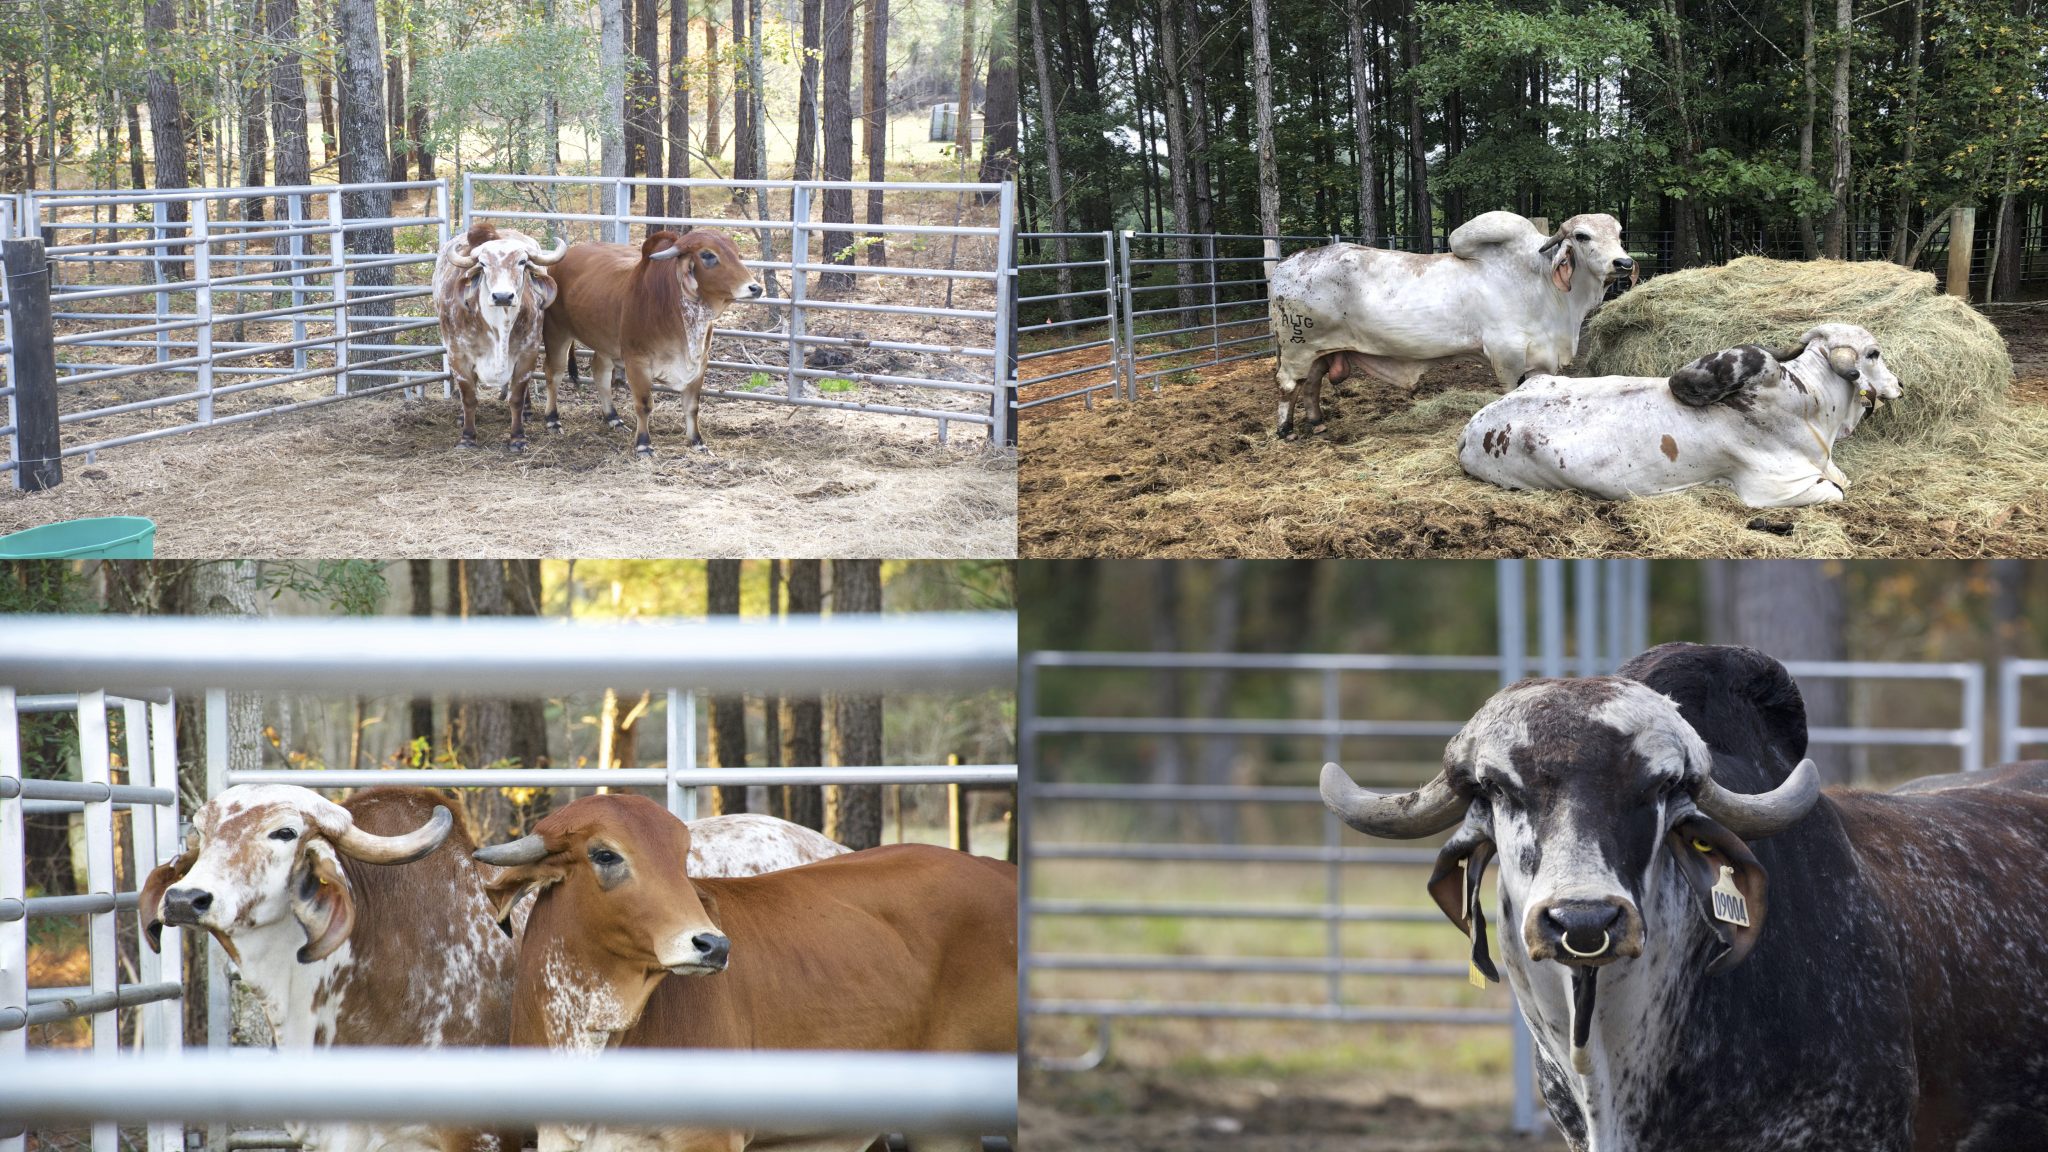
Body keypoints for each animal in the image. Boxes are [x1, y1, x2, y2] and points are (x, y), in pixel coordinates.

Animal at [432, 223, 568, 450]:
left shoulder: (527, 354)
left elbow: (516, 398)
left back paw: (528, 411)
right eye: (483, 263)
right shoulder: (458, 356)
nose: (503, 296)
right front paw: (467, 437)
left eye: (522, 262)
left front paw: (517, 437)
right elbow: (469, 398)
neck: (499, 328)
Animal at [539, 228, 763, 457]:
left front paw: (697, 441)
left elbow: (692, 406)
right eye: (708, 255)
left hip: (605, 343)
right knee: (554, 373)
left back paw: (613, 418)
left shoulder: (700, 363)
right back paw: (553, 419)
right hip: (557, 333)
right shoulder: (637, 362)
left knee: (599, 372)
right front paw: (644, 444)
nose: (755, 288)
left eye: (736, 253)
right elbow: (644, 404)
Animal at [1266, 212, 1635, 440]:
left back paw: (1316, 422)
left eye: (1619, 234)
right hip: (1298, 345)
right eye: (1582, 235)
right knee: (1288, 384)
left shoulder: (1542, 361)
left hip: (1320, 349)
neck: (1541, 283)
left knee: (1312, 383)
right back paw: (1286, 430)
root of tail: (1287, 263)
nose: (1624, 262)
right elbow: (1509, 393)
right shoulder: (1507, 356)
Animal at [1456, 323, 1904, 508]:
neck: (1811, 406)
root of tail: (1470, 429)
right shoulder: (1775, 489)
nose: (1899, 384)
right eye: (1874, 353)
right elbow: (1836, 492)